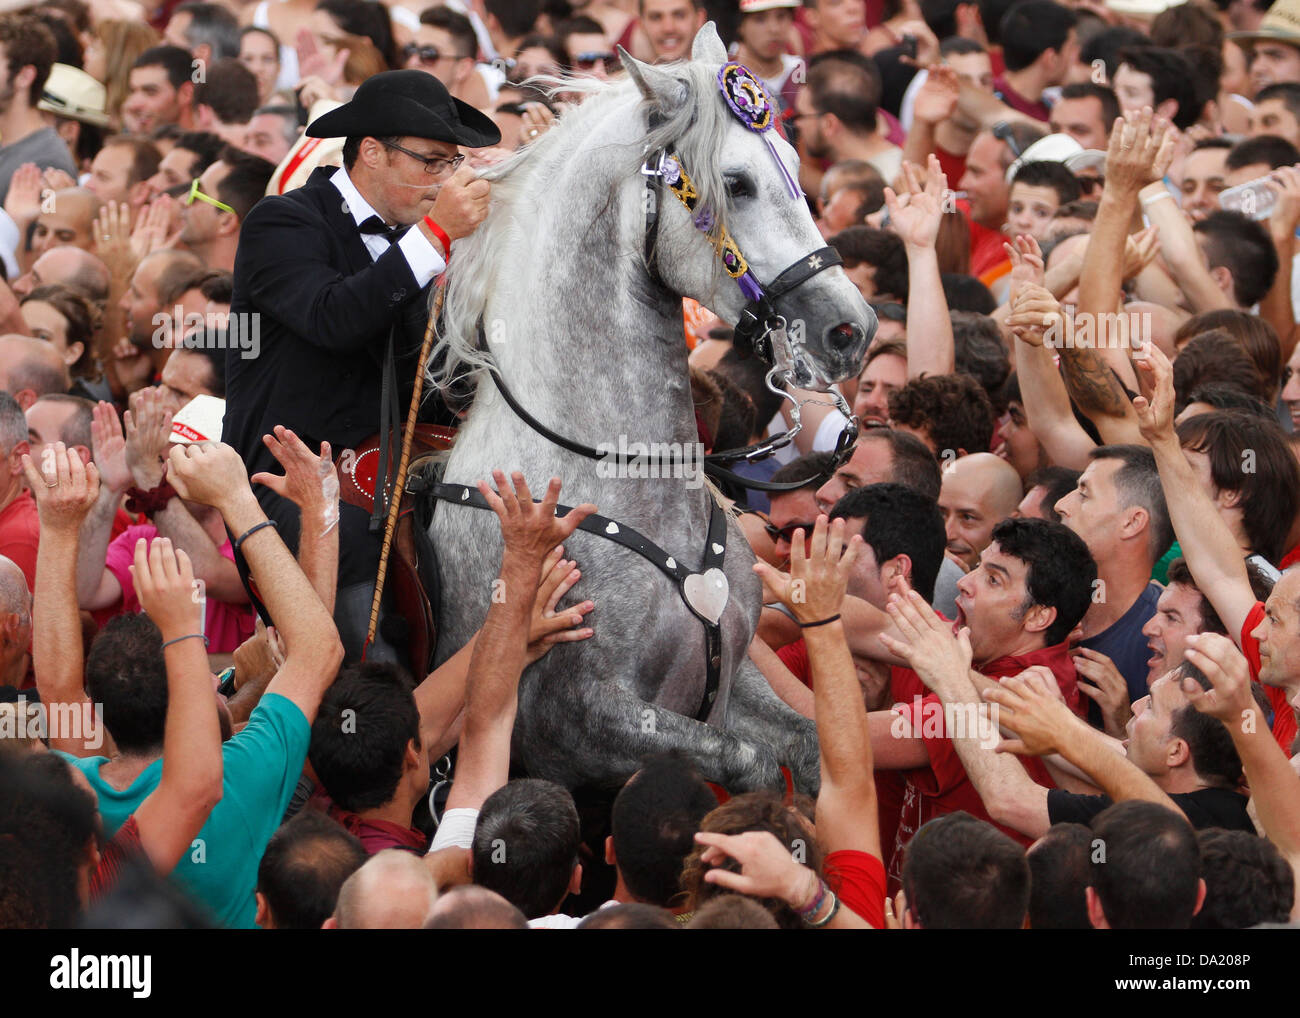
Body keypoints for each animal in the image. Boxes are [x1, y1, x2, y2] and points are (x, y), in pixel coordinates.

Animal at [426, 23, 875, 795]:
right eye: (737, 183)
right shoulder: (577, 727)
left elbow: (808, 749)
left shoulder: (730, 681)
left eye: (795, 165)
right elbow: (749, 765)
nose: (851, 330)